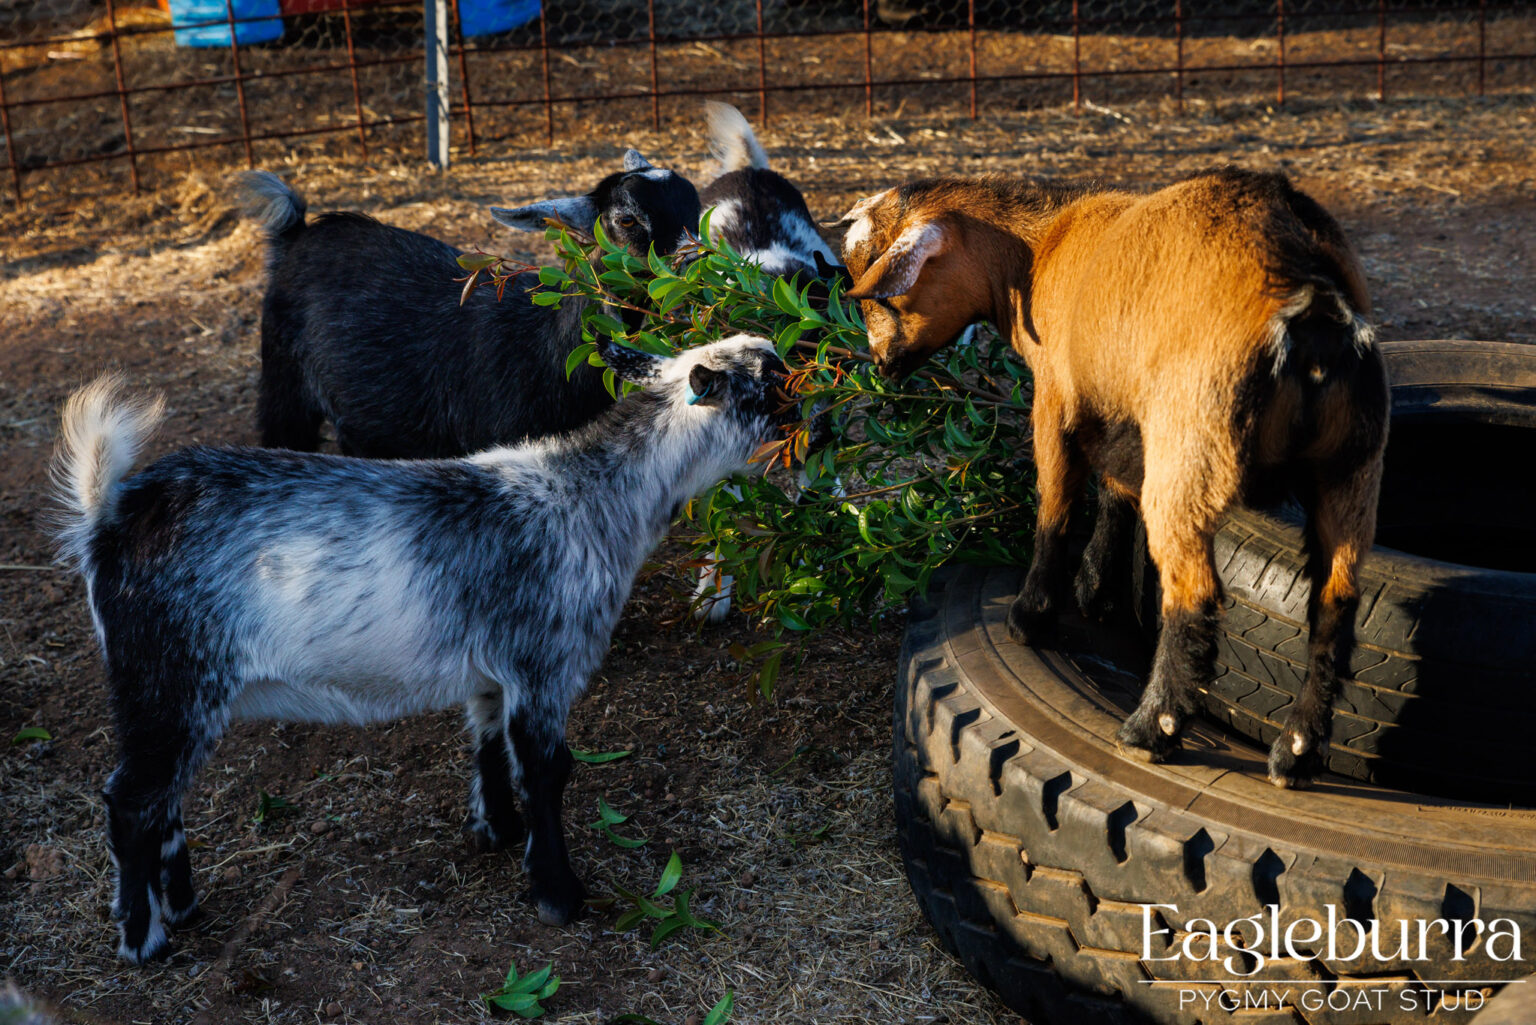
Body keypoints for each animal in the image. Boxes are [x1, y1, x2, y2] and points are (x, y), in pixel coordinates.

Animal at [51, 334, 792, 963]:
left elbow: (489, 742)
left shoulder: (494, 671)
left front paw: (498, 829)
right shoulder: (545, 662)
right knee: (132, 800)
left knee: (165, 798)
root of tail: (111, 514)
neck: (593, 496)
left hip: (176, 692)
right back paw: (144, 938)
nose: (814, 421)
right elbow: (547, 769)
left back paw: (183, 904)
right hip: (168, 674)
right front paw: (559, 894)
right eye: (771, 387)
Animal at [240, 150, 701, 458]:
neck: (542, 349)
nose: (696, 272)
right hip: (284, 384)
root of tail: (296, 236)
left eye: (696, 207)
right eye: (626, 219)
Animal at [838, 169, 1388, 788]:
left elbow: (1055, 506)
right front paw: (1096, 591)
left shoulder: (1055, 397)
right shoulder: (1120, 409)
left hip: (1191, 447)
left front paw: (1032, 616)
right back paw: (1296, 752)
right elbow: (1115, 492)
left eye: (876, 280)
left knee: (1194, 592)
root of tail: (1310, 301)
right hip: (1350, 466)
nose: (880, 365)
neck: (1041, 247)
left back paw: (1151, 730)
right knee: (1335, 602)